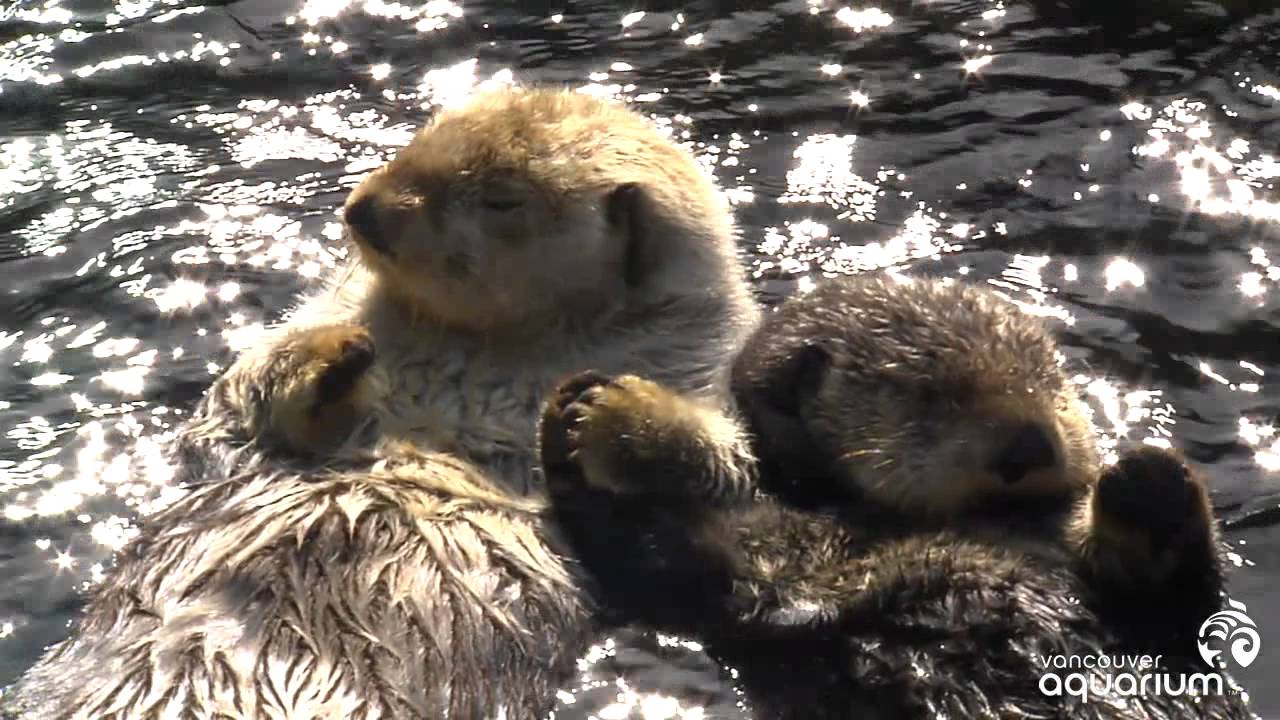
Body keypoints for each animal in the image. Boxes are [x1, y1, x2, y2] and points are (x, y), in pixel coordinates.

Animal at [2, 88, 758, 719]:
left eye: (501, 200)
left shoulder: (694, 364)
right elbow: (243, 401)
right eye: (421, 134)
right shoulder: (327, 315)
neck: (486, 348)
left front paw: (611, 414)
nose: (366, 208)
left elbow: (727, 487)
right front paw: (335, 357)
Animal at [540, 274, 1253, 719]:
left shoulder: (1149, 613)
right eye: (931, 397)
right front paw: (602, 411)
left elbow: (1182, 600)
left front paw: (1147, 481)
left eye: (1053, 381)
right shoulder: (747, 585)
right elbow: (658, 554)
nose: (1031, 446)